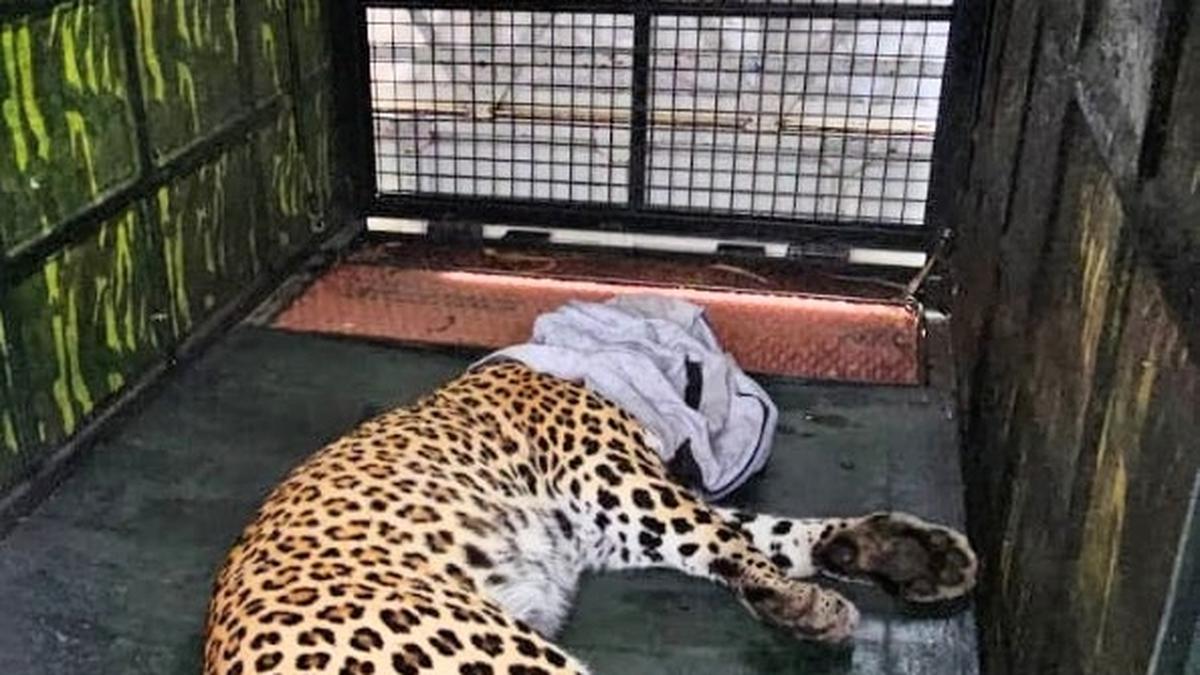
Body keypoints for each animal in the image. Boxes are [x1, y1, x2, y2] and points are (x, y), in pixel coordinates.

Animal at [204, 360, 977, 674]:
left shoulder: (608, 523)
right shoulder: (618, 479)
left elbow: (761, 531)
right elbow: (728, 535)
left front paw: (910, 554)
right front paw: (805, 605)